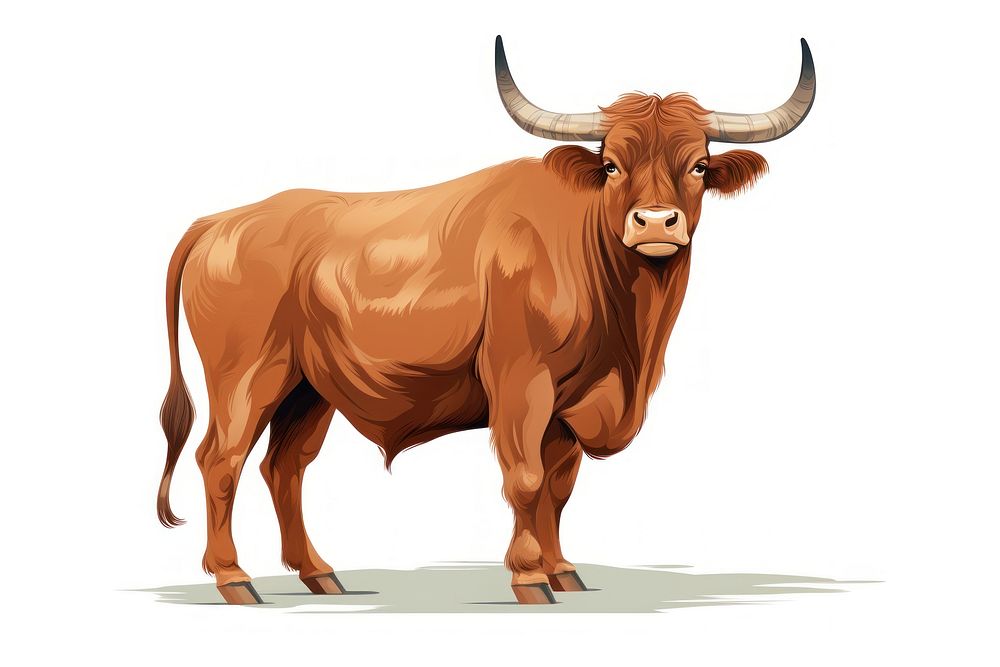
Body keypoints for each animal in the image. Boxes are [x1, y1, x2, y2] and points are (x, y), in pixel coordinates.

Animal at [157, 36, 815, 605]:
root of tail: (222, 222)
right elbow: (524, 477)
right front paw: (529, 578)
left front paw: (563, 570)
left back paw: (320, 574)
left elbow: (558, 486)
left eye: (699, 164)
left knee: (284, 467)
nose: (656, 223)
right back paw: (235, 579)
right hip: (246, 377)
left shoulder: (568, 406)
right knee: (221, 461)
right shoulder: (520, 381)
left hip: (308, 389)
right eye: (611, 165)